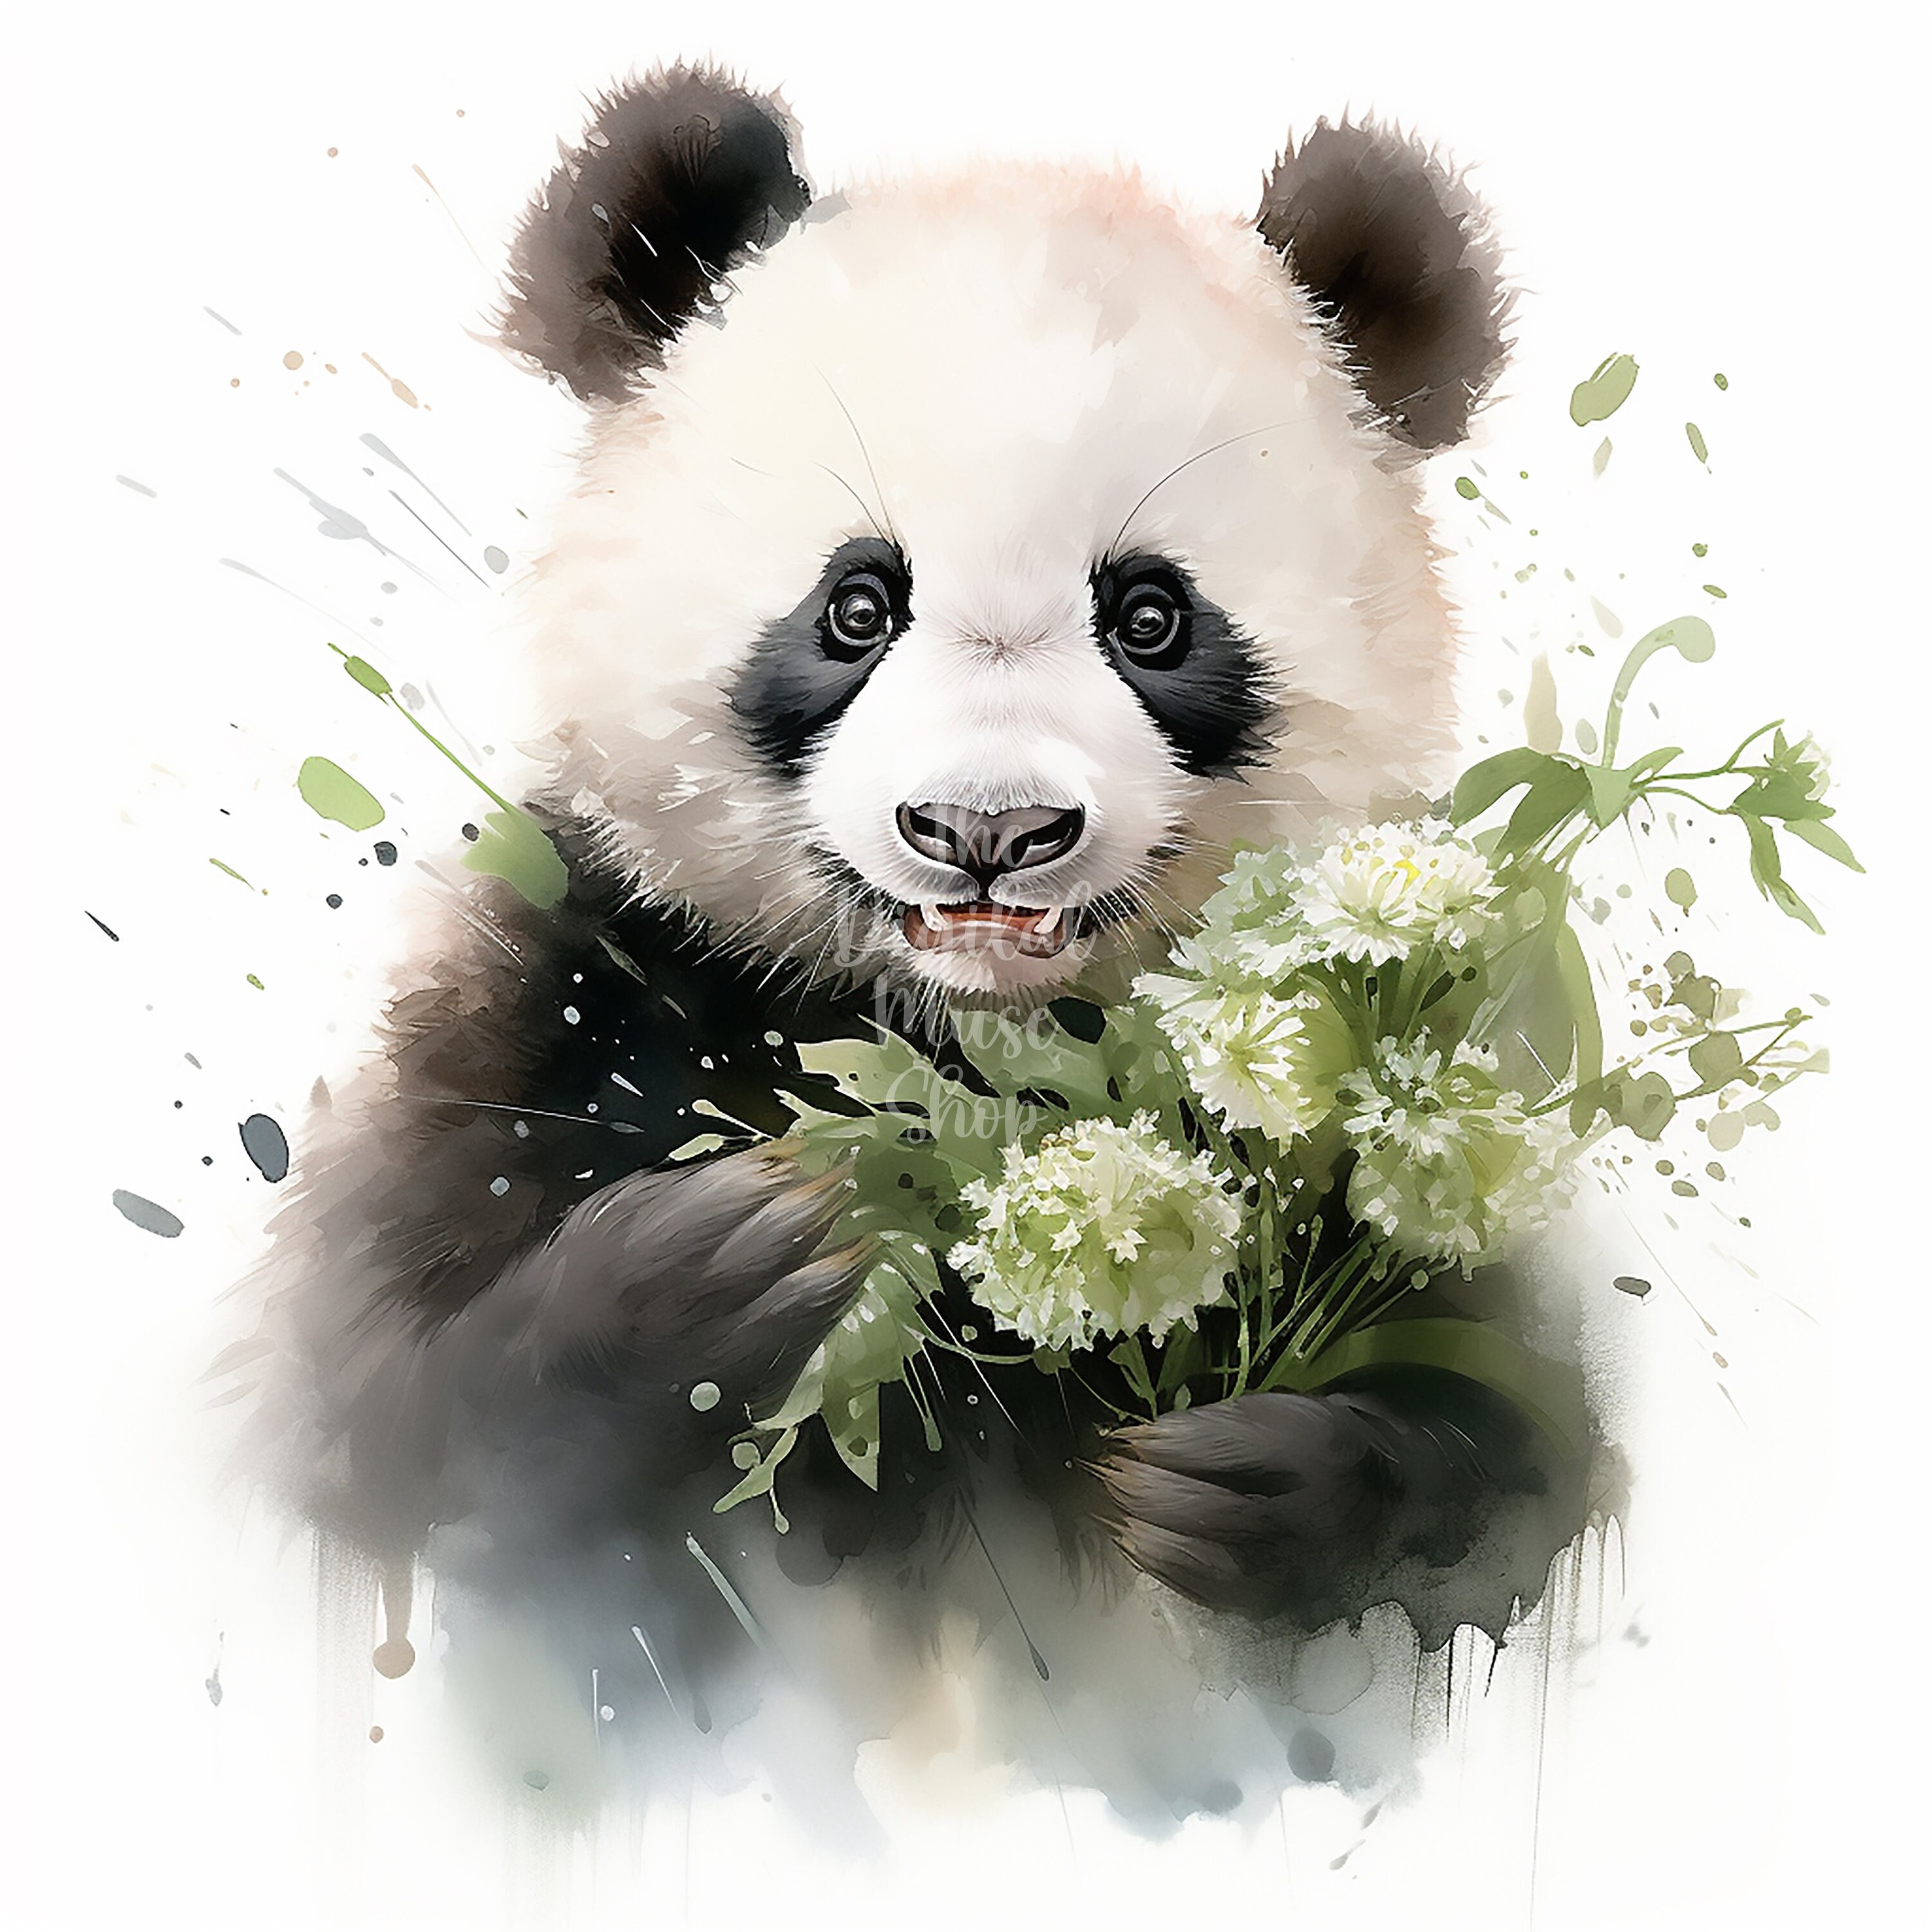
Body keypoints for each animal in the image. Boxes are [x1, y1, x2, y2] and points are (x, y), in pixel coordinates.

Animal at [239, 65, 1592, 1820]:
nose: (987, 829)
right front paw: (737, 1258)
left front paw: (1252, 1475)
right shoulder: (565, 990)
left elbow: (1542, 1459)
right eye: (857, 607)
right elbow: (356, 1432)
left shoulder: (1408, 1081)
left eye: (1149, 618)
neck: (965, 1041)